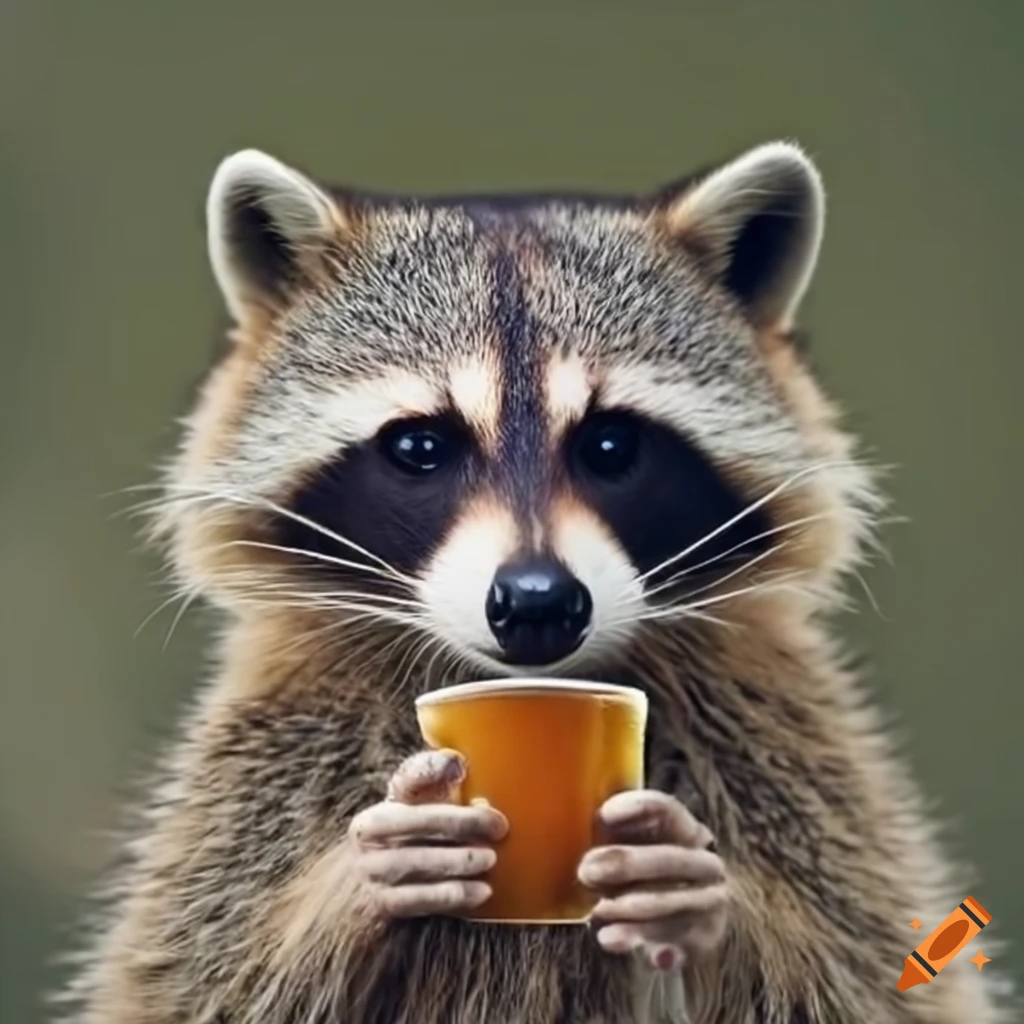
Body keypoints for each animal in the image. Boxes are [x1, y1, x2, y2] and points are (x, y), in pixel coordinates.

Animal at [57, 142, 1014, 1024]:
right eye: (421, 446)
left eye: (611, 444)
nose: (536, 603)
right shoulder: (266, 759)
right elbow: (194, 978)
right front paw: (353, 886)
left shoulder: (792, 751)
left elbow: (865, 976)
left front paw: (703, 902)